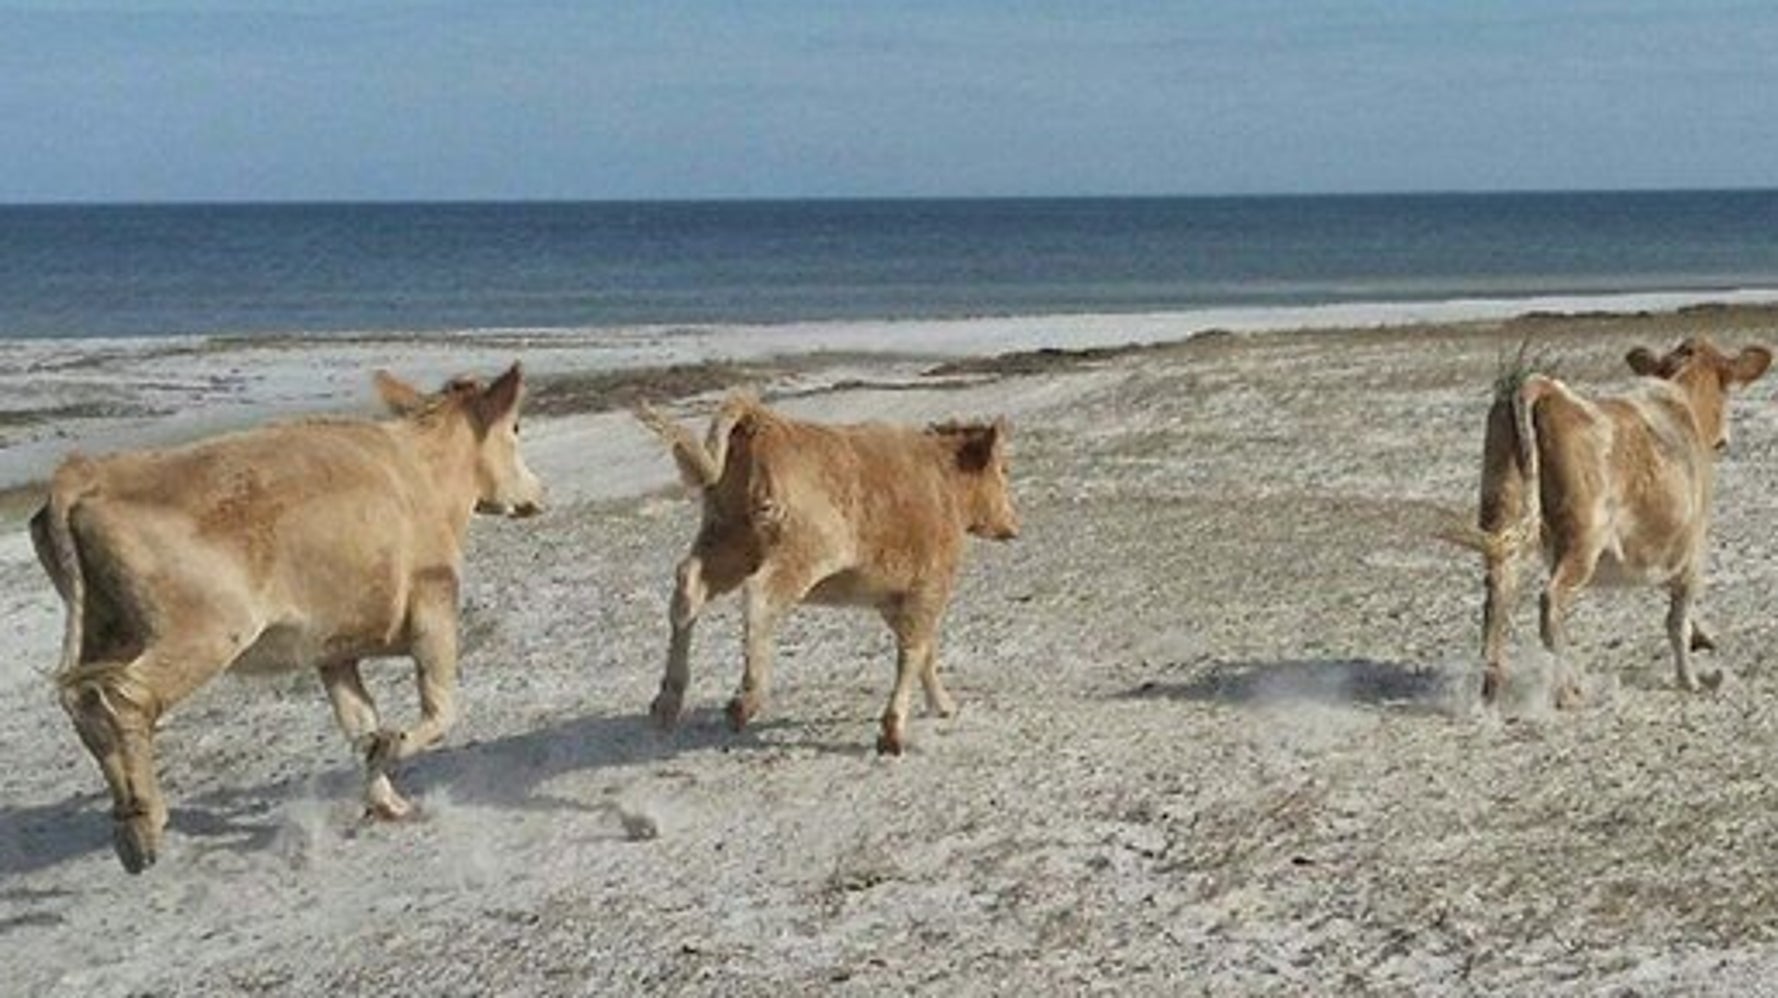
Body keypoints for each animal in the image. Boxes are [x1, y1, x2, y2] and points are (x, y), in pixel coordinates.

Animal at [31, 364, 543, 873]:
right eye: (516, 427)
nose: (539, 492)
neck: (426, 471)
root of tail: (85, 472)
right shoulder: (435, 605)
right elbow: (440, 710)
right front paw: (389, 746)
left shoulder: (333, 648)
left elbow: (358, 719)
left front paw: (385, 799)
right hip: (203, 633)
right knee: (124, 700)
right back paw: (143, 824)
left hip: (107, 632)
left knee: (84, 702)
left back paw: (125, 823)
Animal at [635, 393, 1020, 755]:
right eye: (1003, 469)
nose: (1014, 525)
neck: (944, 482)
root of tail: (761, 420)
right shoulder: (929, 587)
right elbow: (915, 649)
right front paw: (894, 731)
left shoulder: (892, 599)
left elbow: (923, 651)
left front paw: (942, 705)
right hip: (800, 555)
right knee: (760, 598)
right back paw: (745, 700)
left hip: (726, 543)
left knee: (688, 588)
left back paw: (667, 702)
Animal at [1447, 336, 1770, 707]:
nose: (1724, 439)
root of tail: (1543, 387)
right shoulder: (1693, 550)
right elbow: (1678, 619)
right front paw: (1690, 679)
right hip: (1582, 539)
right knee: (1550, 601)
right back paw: (1568, 690)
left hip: (1502, 518)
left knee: (1497, 597)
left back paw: (1491, 688)